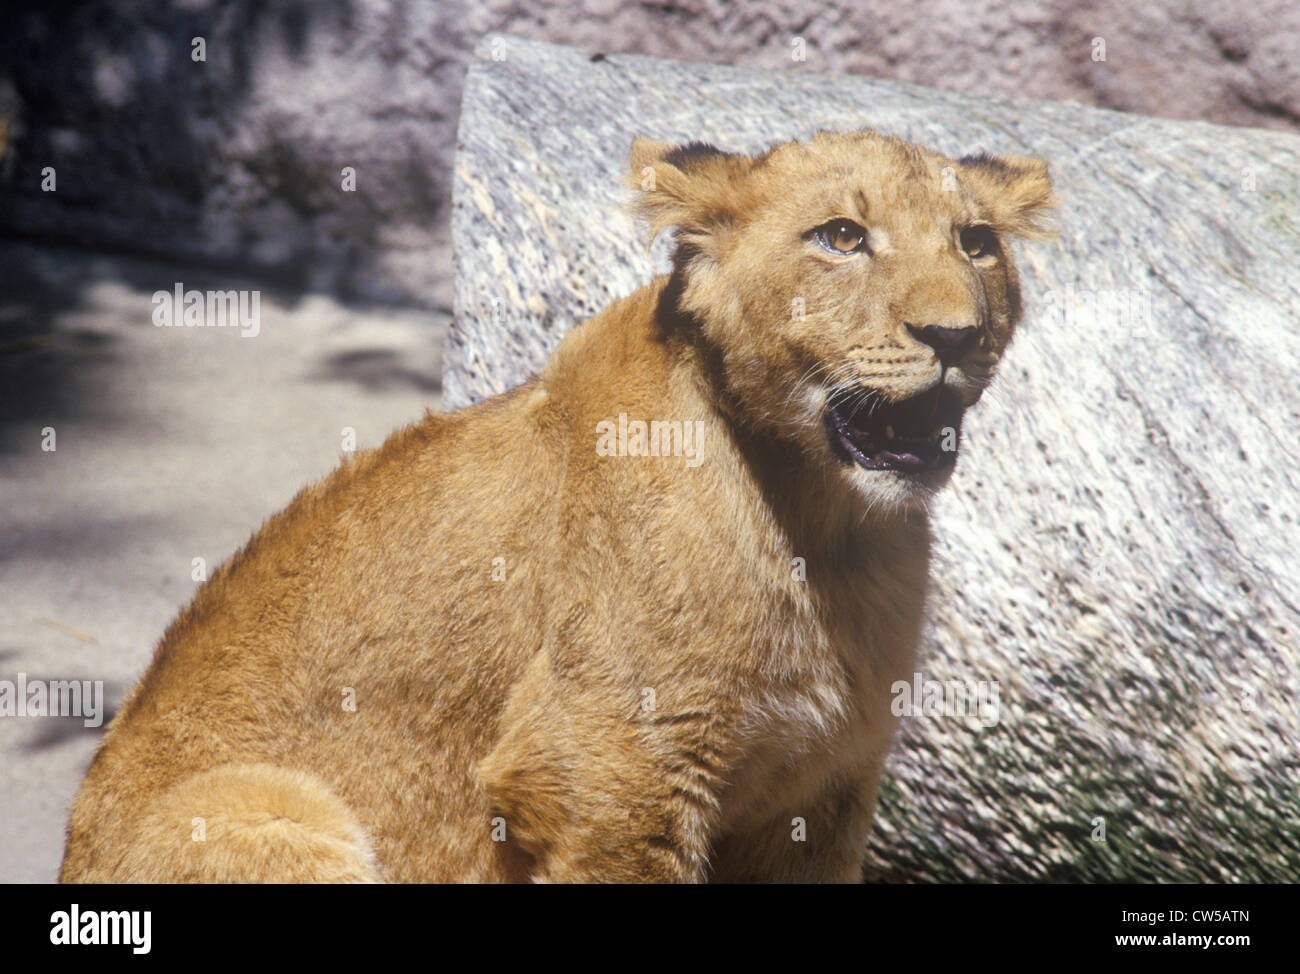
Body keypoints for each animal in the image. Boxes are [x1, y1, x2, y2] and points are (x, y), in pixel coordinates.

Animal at [60, 129, 1054, 883]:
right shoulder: (604, 769)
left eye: (975, 242)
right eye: (842, 236)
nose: (954, 335)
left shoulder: (822, 791)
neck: (829, 528)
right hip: (267, 805)